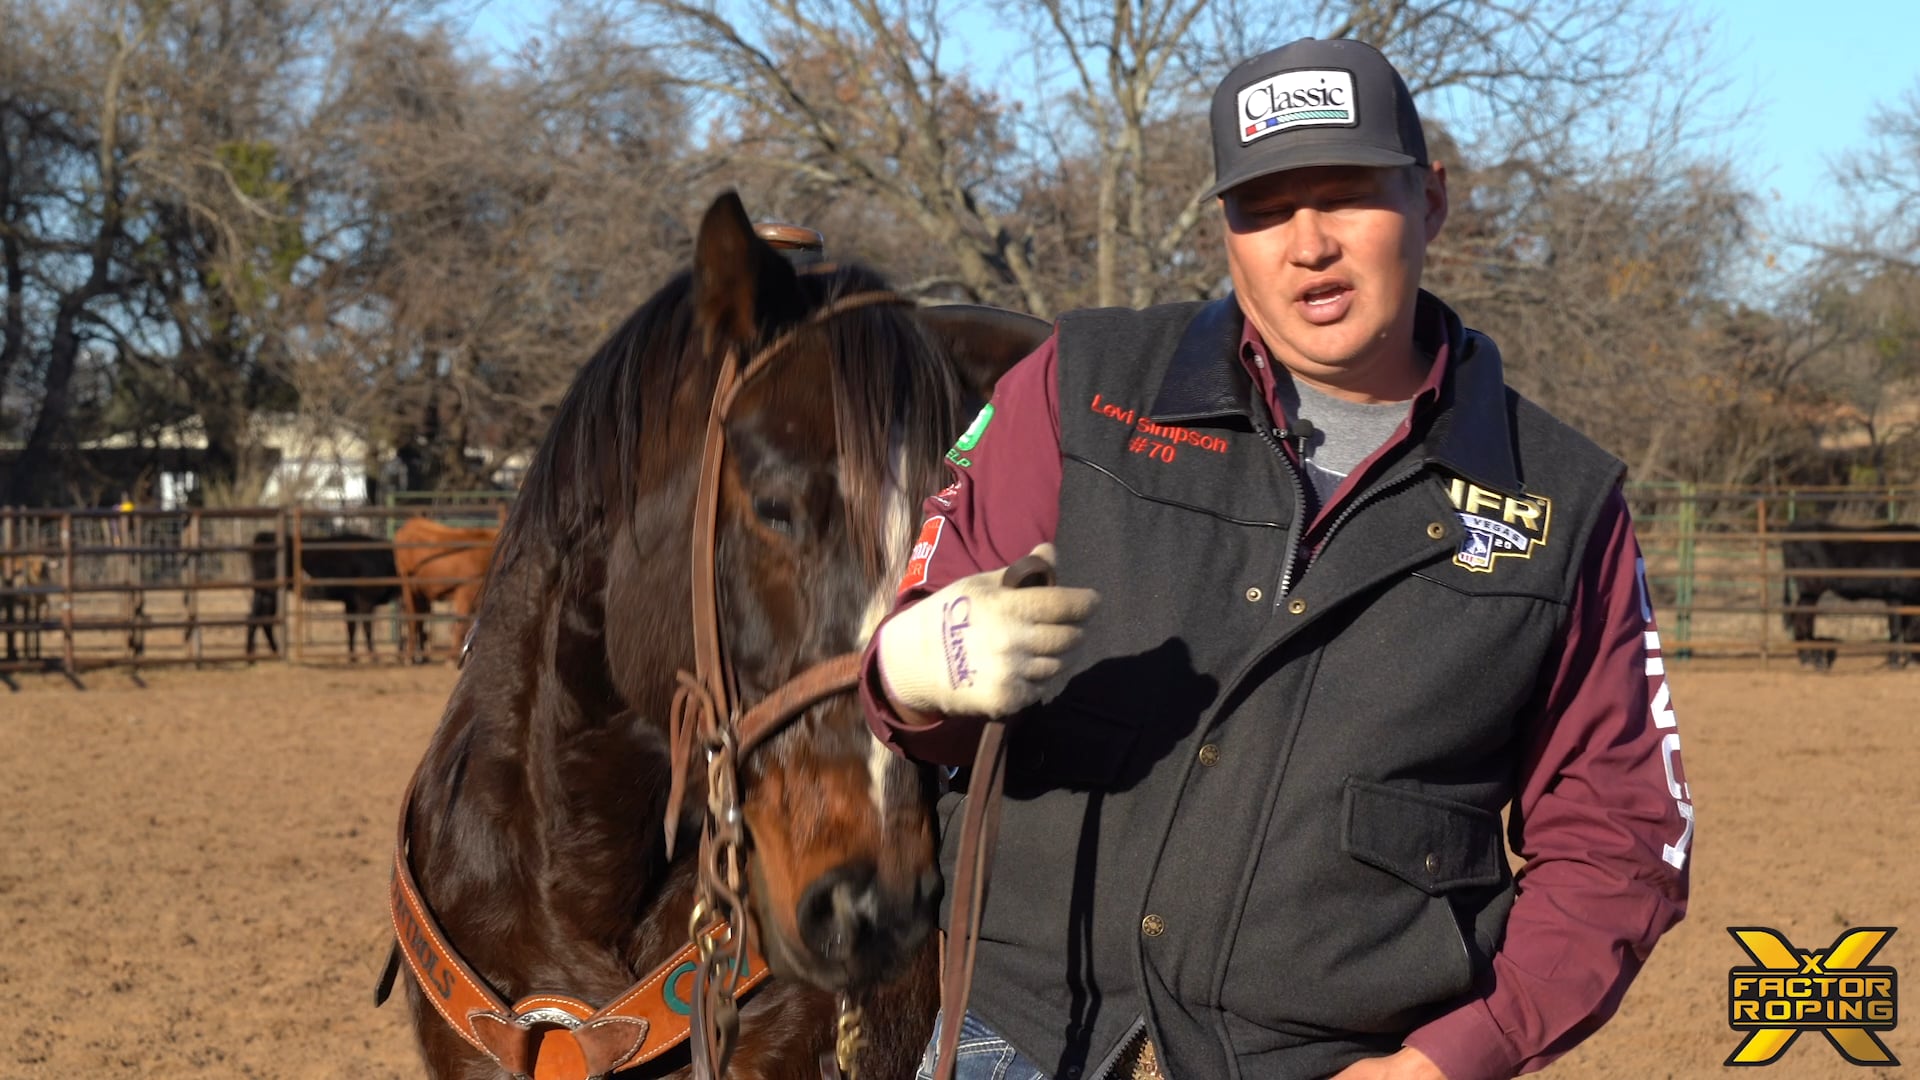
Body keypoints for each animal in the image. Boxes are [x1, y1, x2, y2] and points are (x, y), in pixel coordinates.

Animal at [1779, 521, 1920, 670]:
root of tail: (1796, 526)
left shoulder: (1910, 600)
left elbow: (1911, 628)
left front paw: (1912, 661)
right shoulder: (1894, 597)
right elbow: (1896, 629)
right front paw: (1895, 663)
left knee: (1800, 619)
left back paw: (1808, 659)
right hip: (1811, 588)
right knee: (1804, 620)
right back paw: (1815, 661)